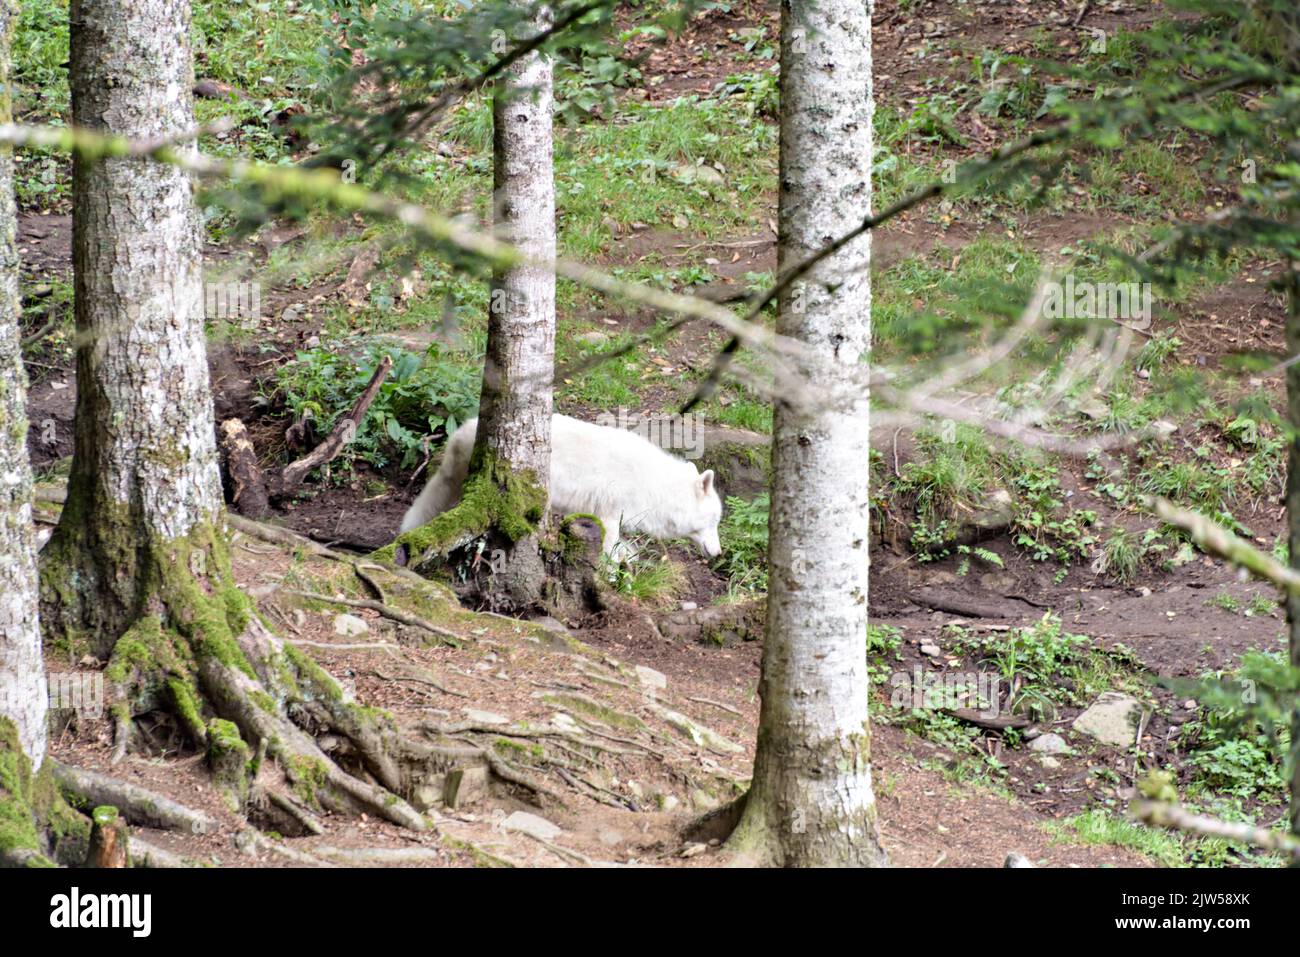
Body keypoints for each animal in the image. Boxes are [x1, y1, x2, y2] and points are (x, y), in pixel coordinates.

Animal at [399, 413, 723, 559]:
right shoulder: (609, 516)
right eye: (714, 522)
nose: (719, 553)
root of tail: (461, 432)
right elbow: (608, 552)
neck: (654, 486)